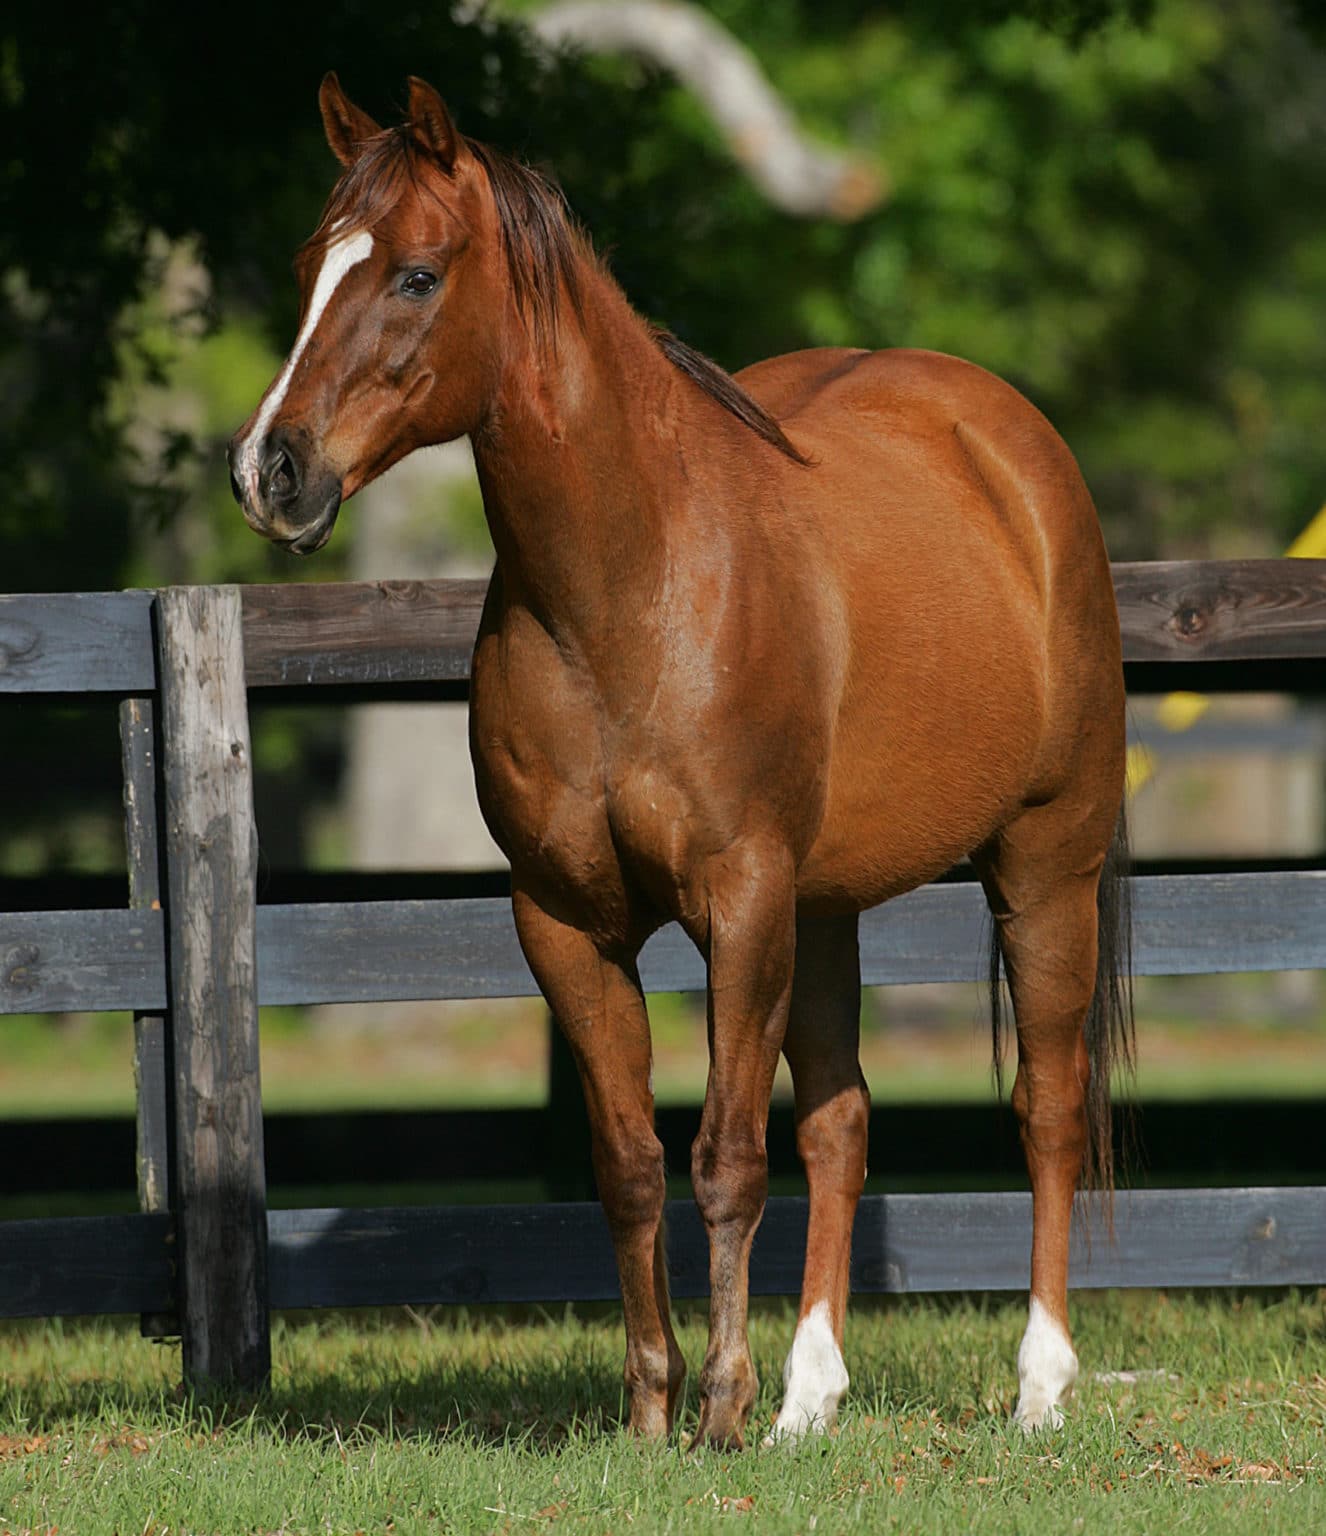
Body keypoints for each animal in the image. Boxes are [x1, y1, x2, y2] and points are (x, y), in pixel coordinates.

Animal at [229, 73, 1132, 1449]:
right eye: (306, 266)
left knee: (1046, 1106)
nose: (270, 471)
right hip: (828, 908)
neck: (631, 585)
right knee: (843, 1123)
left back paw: (1038, 1386)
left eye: (418, 275)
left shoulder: (740, 899)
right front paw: (654, 1411)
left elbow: (724, 1158)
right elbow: (629, 1163)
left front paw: (718, 1405)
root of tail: (1014, 450)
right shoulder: (564, 920)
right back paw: (812, 1399)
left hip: (1043, 867)